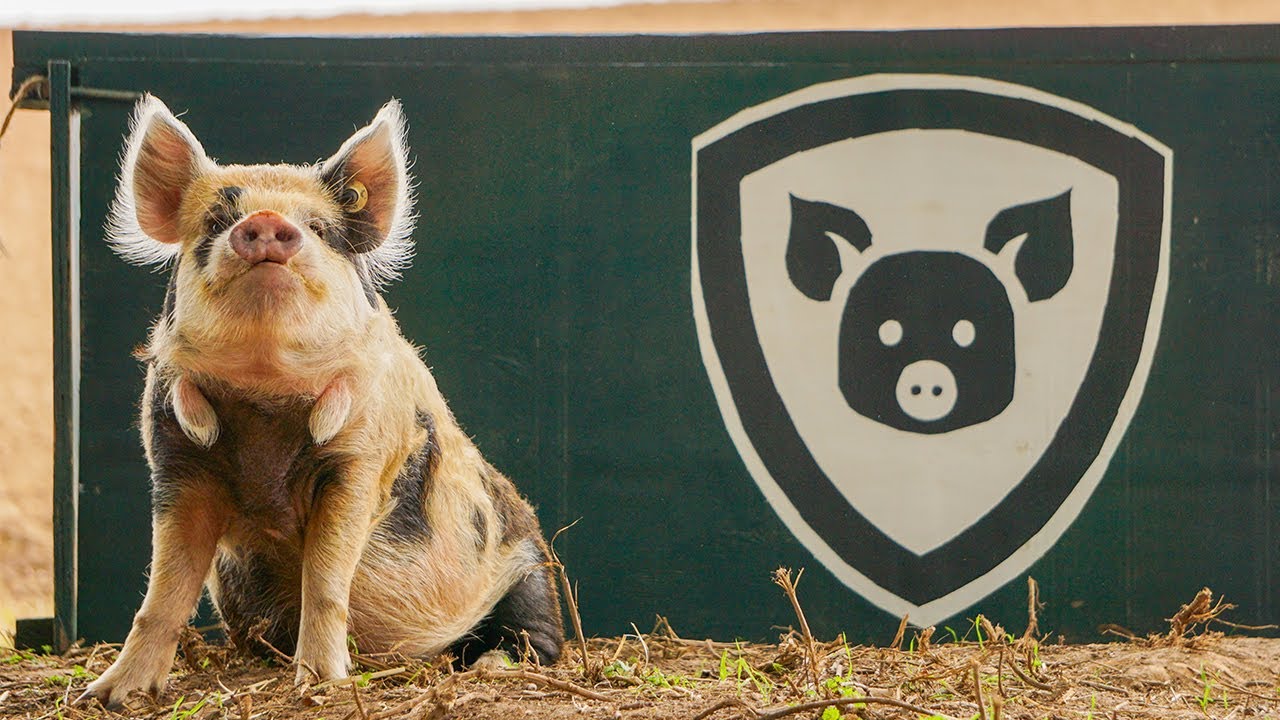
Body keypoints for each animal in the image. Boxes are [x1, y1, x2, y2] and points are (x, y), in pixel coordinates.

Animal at [79, 96, 563, 709]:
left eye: (319, 228)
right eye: (215, 222)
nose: (266, 222)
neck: (265, 394)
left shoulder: (359, 459)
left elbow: (327, 577)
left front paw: (321, 684)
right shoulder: (176, 461)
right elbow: (164, 589)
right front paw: (108, 697)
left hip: (529, 562)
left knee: (533, 636)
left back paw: (488, 666)